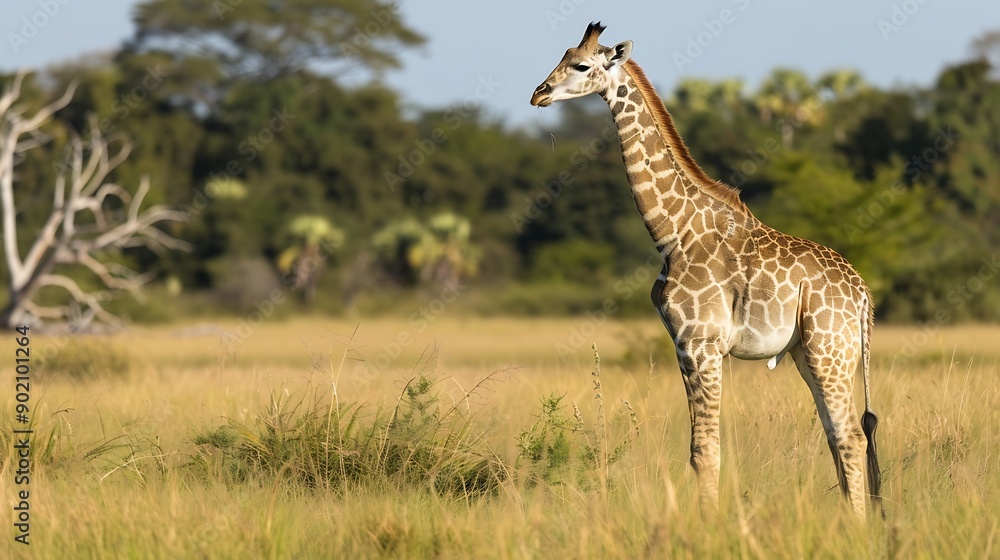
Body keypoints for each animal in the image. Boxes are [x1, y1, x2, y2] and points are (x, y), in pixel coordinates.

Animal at [530, 22, 882, 518]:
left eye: (581, 65)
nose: (538, 94)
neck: (672, 232)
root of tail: (863, 294)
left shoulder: (701, 342)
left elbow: (705, 450)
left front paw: (708, 524)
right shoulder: (682, 345)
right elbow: (702, 449)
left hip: (829, 349)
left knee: (850, 436)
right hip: (810, 352)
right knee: (838, 434)